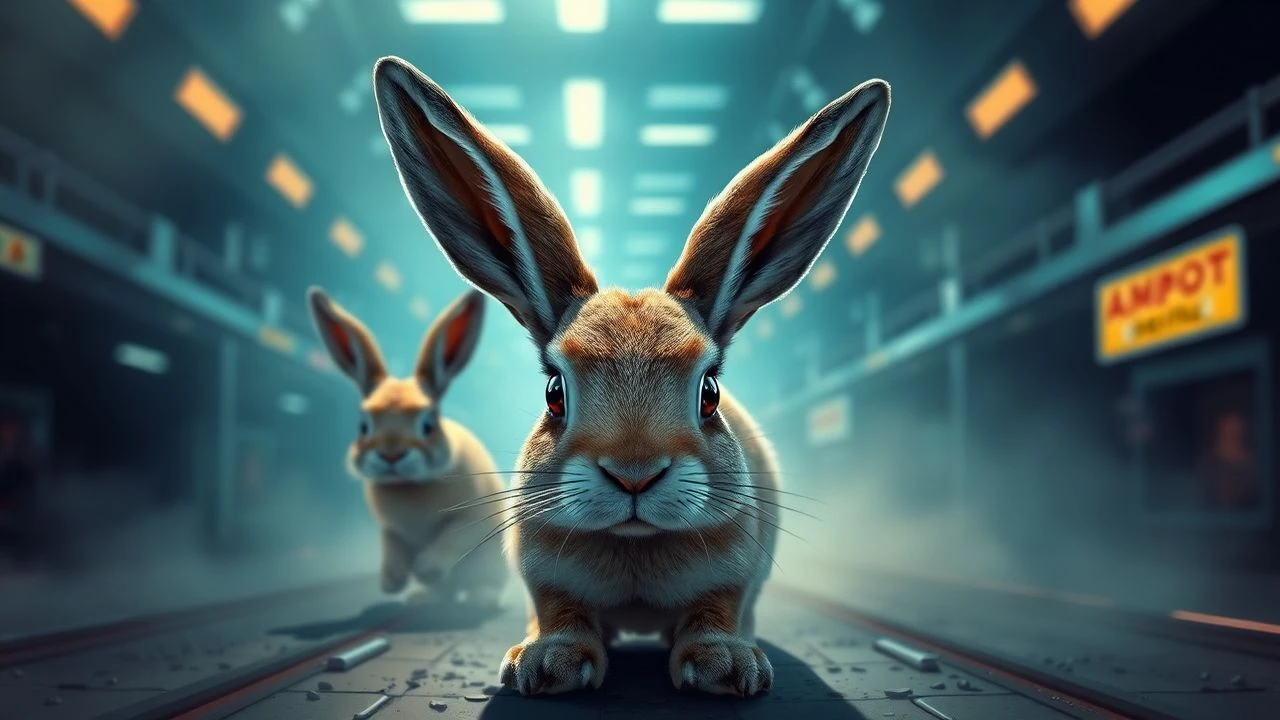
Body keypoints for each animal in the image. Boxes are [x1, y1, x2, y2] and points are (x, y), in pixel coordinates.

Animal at [307, 286, 509, 608]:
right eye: (363, 426)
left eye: (428, 425)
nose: (391, 454)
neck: (406, 485)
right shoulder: (390, 530)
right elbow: (392, 547)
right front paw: (392, 582)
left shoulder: (470, 518)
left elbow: (452, 537)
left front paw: (425, 568)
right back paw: (423, 598)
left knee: (484, 586)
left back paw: (478, 598)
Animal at [370, 56, 889, 696]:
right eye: (554, 392)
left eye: (710, 393)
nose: (634, 474)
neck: (634, 548)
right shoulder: (545, 576)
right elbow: (559, 610)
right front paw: (547, 663)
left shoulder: (733, 574)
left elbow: (716, 609)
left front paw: (726, 665)